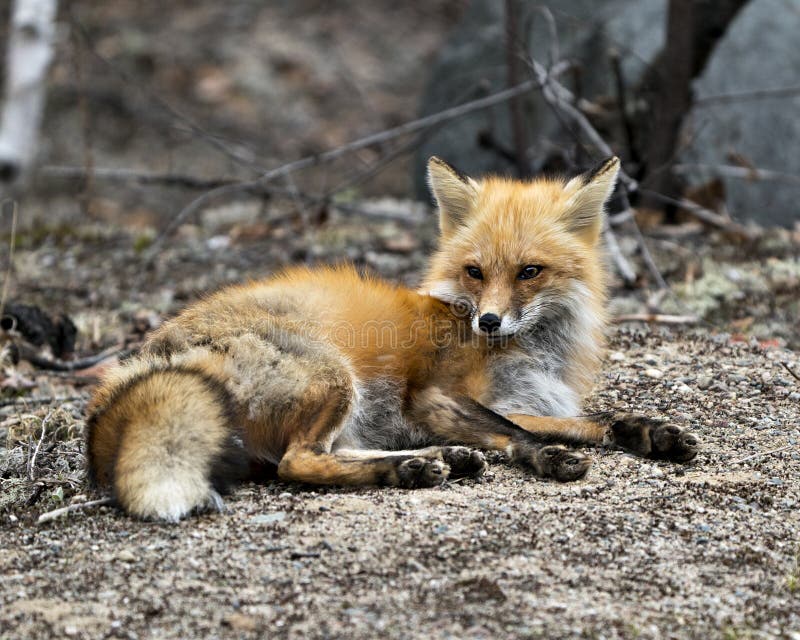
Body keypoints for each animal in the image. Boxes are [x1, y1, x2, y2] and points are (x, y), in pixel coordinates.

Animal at [86, 156, 699, 521]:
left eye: (530, 272)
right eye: (475, 272)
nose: (488, 322)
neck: (531, 351)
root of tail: (141, 364)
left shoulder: (512, 399)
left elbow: (588, 421)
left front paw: (648, 433)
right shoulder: (433, 396)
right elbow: (517, 433)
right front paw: (548, 458)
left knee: (325, 451)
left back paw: (438, 457)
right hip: (334, 377)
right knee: (298, 463)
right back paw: (408, 469)